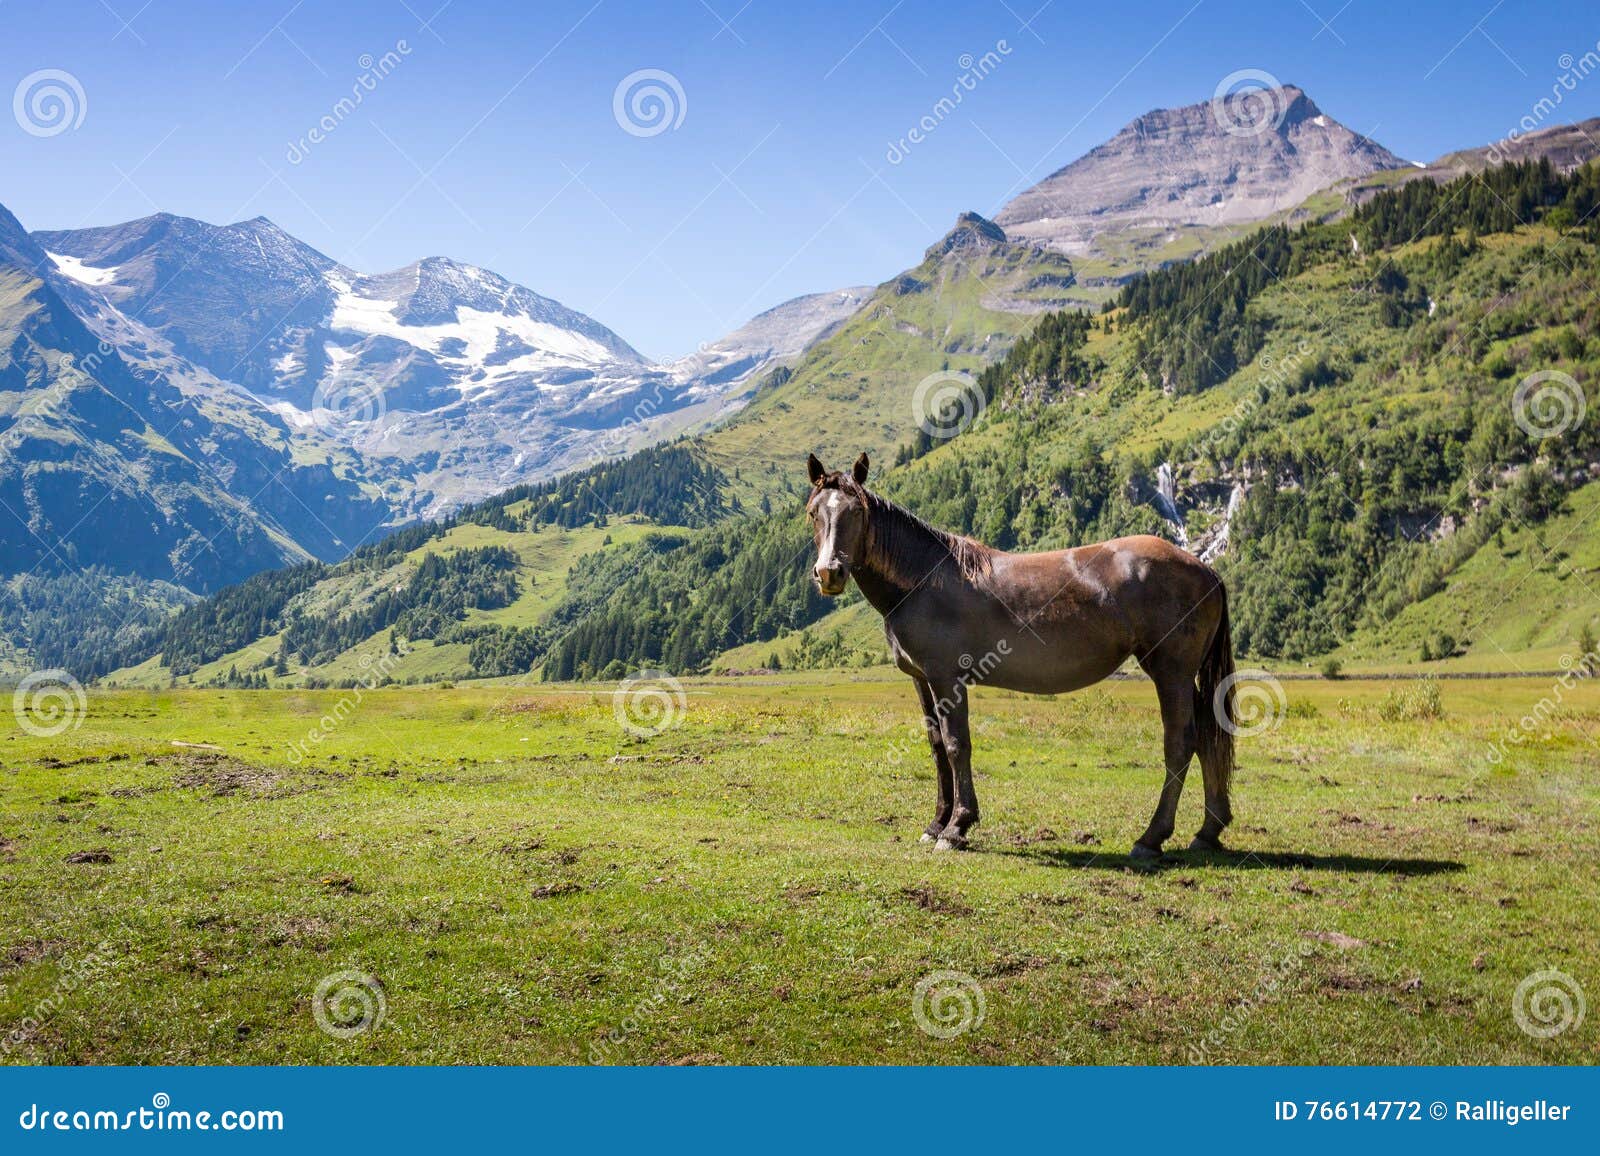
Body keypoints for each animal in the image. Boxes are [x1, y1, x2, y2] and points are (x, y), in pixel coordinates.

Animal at [804, 451, 1238, 859]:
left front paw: (956, 828)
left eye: (857, 511)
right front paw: (936, 823)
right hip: (1184, 676)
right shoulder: (923, 680)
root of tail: (1205, 570)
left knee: (1180, 743)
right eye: (813, 512)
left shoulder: (947, 678)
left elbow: (957, 745)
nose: (829, 573)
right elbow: (937, 746)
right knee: (1207, 738)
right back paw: (1207, 831)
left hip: (1171, 673)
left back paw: (1151, 838)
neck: (924, 581)